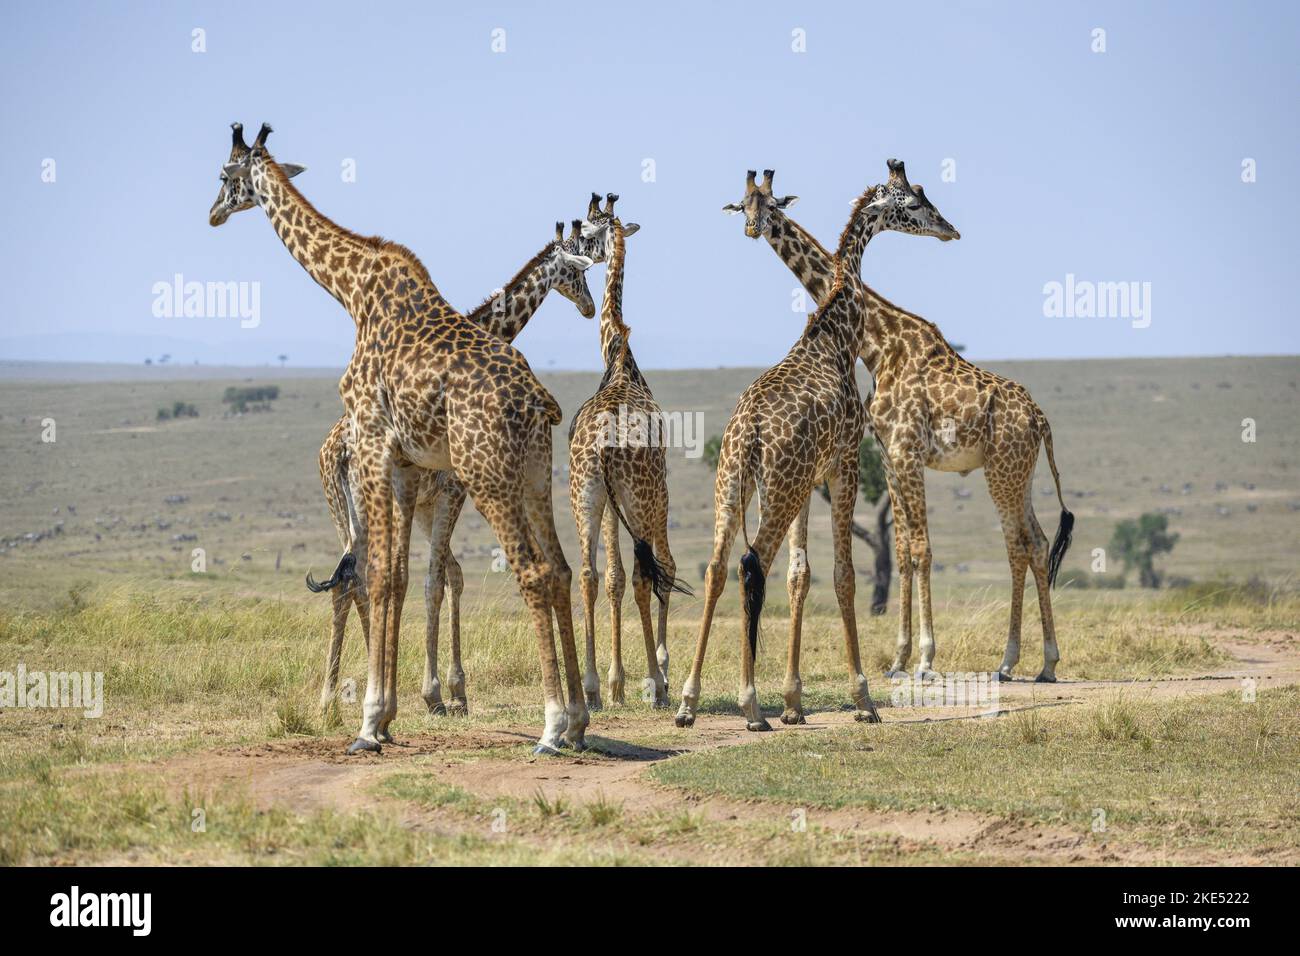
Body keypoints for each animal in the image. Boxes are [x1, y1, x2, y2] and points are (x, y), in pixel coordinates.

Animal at [310, 221, 598, 717]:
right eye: (578, 270)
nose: (589, 306)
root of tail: (336, 453)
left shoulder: (429, 502)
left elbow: (448, 575)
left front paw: (448, 689)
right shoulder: (453, 491)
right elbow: (436, 581)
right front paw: (438, 692)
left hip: (341, 512)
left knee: (349, 579)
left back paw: (335, 693)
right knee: (356, 578)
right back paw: (349, 689)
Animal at [675, 168, 961, 731]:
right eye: (915, 202)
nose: (950, 230)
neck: (837, 331)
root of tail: (749, 431)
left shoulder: (809, 480)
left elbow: (799, 576)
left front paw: (793, 703)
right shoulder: (844, 462)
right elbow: (843, 576)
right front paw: (862, 698)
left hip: (735, 485)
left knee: (718, 567)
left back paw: (688, 702)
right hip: (779, 487)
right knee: (751, 564)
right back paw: (749, 706)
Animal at [723, 164, 1075, 684]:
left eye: (769, 205)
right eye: (743, 205)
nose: (950, 229)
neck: (878, 342)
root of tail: (1040, 418)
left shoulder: (907, 450)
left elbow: (922, 548)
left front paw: (926, 659)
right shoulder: (890, 455)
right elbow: (906, 551)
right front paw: (899, 659)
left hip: (1003, 471)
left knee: (1018, 544)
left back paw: (1012, 661)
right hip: (1020, 472)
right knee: (1037, 541)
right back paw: (1043, 661)